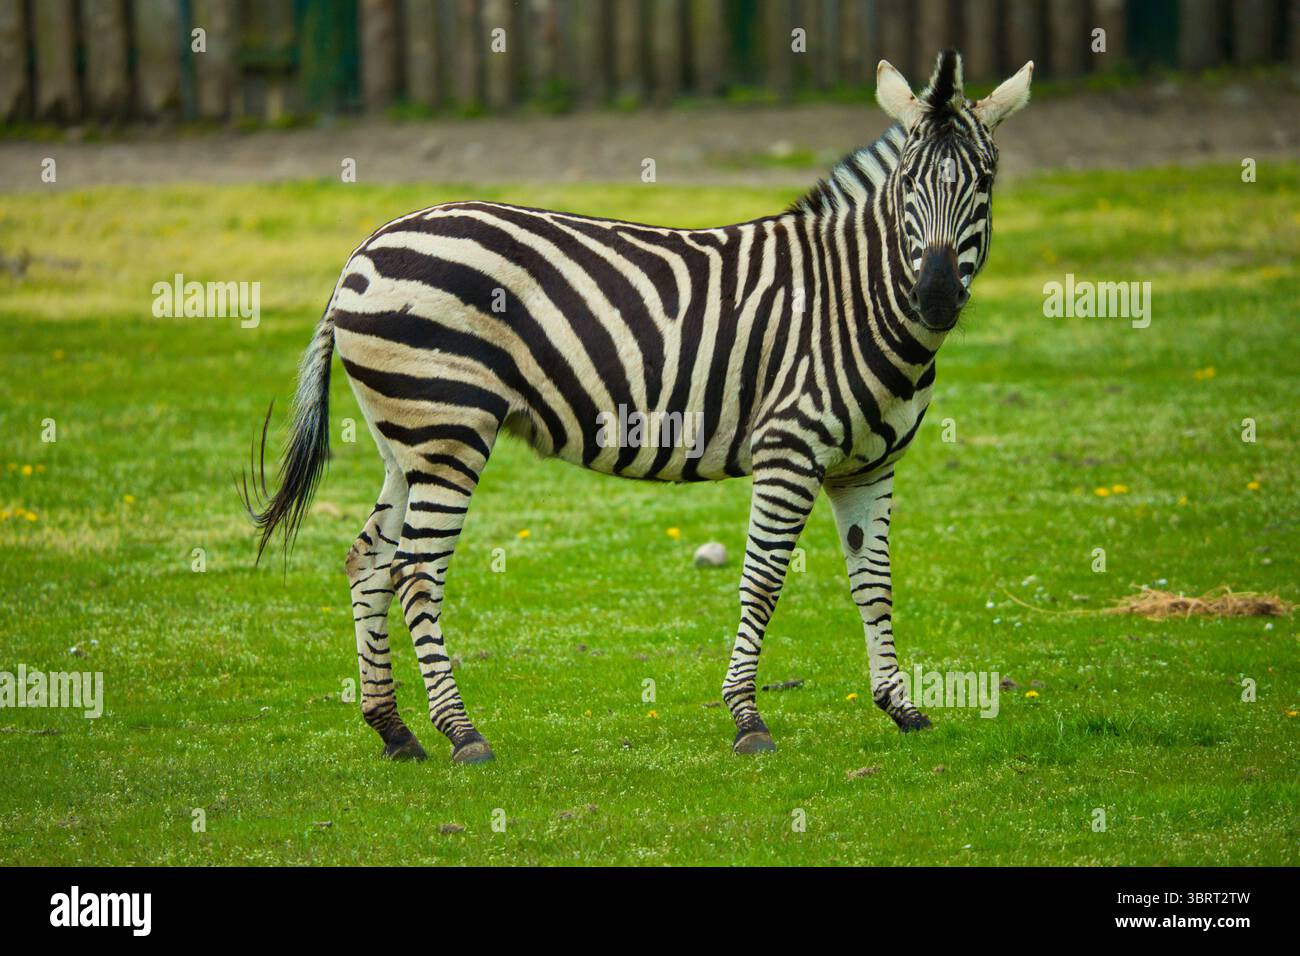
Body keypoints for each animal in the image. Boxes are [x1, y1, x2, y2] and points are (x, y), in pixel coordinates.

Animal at [242, 50, 1033, 764]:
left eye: (985, 182)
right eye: (906, 184)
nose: (936, 296)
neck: (854, 296)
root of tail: (362, 253)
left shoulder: (868, 466)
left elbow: (874, 586)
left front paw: (901, 707)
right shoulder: (790, 447)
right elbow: (762, 582)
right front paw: (747, 719)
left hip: (406, 439)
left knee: (369, 560)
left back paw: (395, 731)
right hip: (450, 433)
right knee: (416, 572)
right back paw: (462, 734)